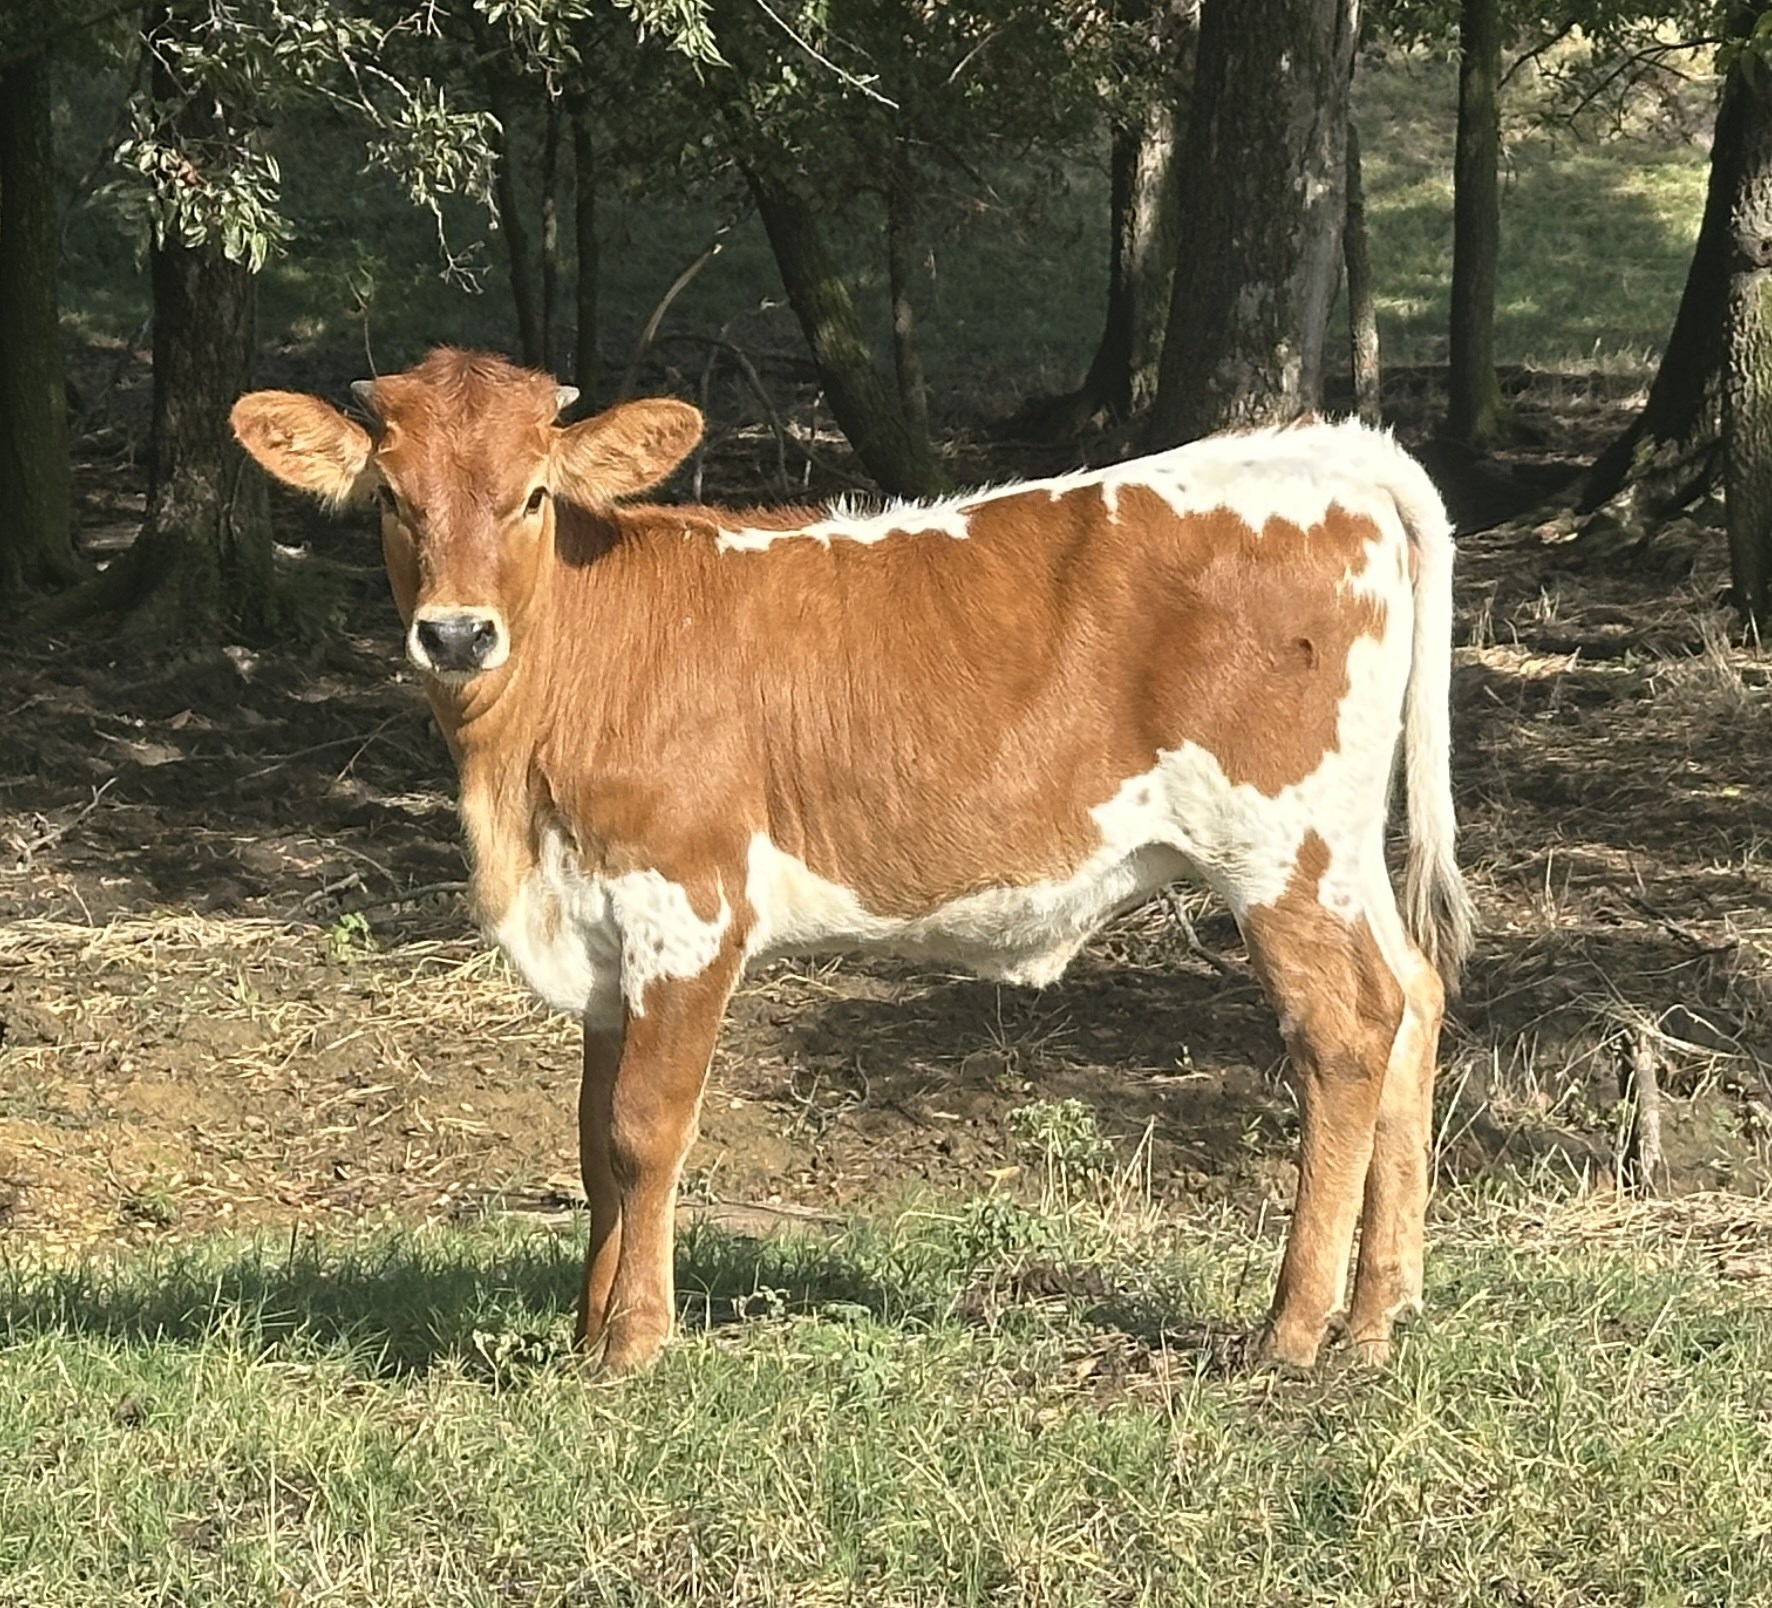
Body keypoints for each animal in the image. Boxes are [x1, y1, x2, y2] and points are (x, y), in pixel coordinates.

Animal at [230, 348, 1474, 1376]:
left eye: (532, 495)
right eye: (392, 498)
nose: (455, 634)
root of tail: (1320, 450)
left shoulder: (684, 907)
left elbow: (644, 1129)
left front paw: (633, 1341)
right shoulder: (599, 932)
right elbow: (590, 1141)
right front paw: (585, 1327)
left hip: (1276, 846)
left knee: (1344, 1030)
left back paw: (1293, 1327)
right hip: (1340, 850)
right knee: (1412, 997)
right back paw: (1378, 1315)